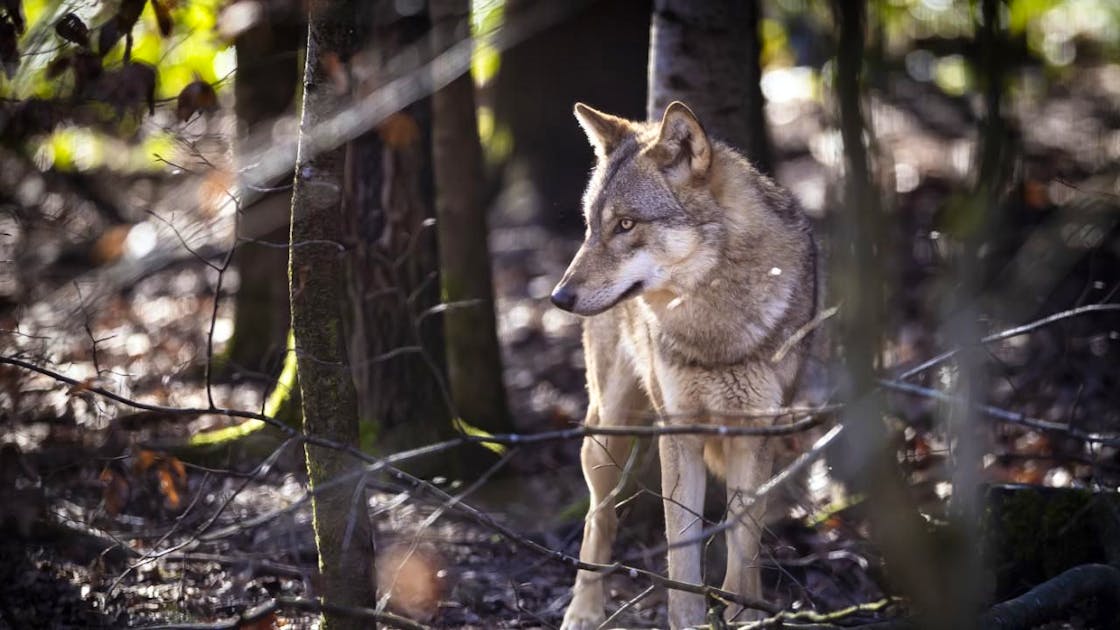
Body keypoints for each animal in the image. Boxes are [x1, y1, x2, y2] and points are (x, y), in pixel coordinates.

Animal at [552, 101, 817, 629]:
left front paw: (743, 611)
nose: (559, 298)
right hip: (607, 432)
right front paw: (690, 617)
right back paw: (583, 610)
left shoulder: (753, 434)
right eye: (591, 225)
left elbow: (744, 542)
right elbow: (681, 547)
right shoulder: (678, 432)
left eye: (626, 225)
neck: (714, 326)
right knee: (599, 516)